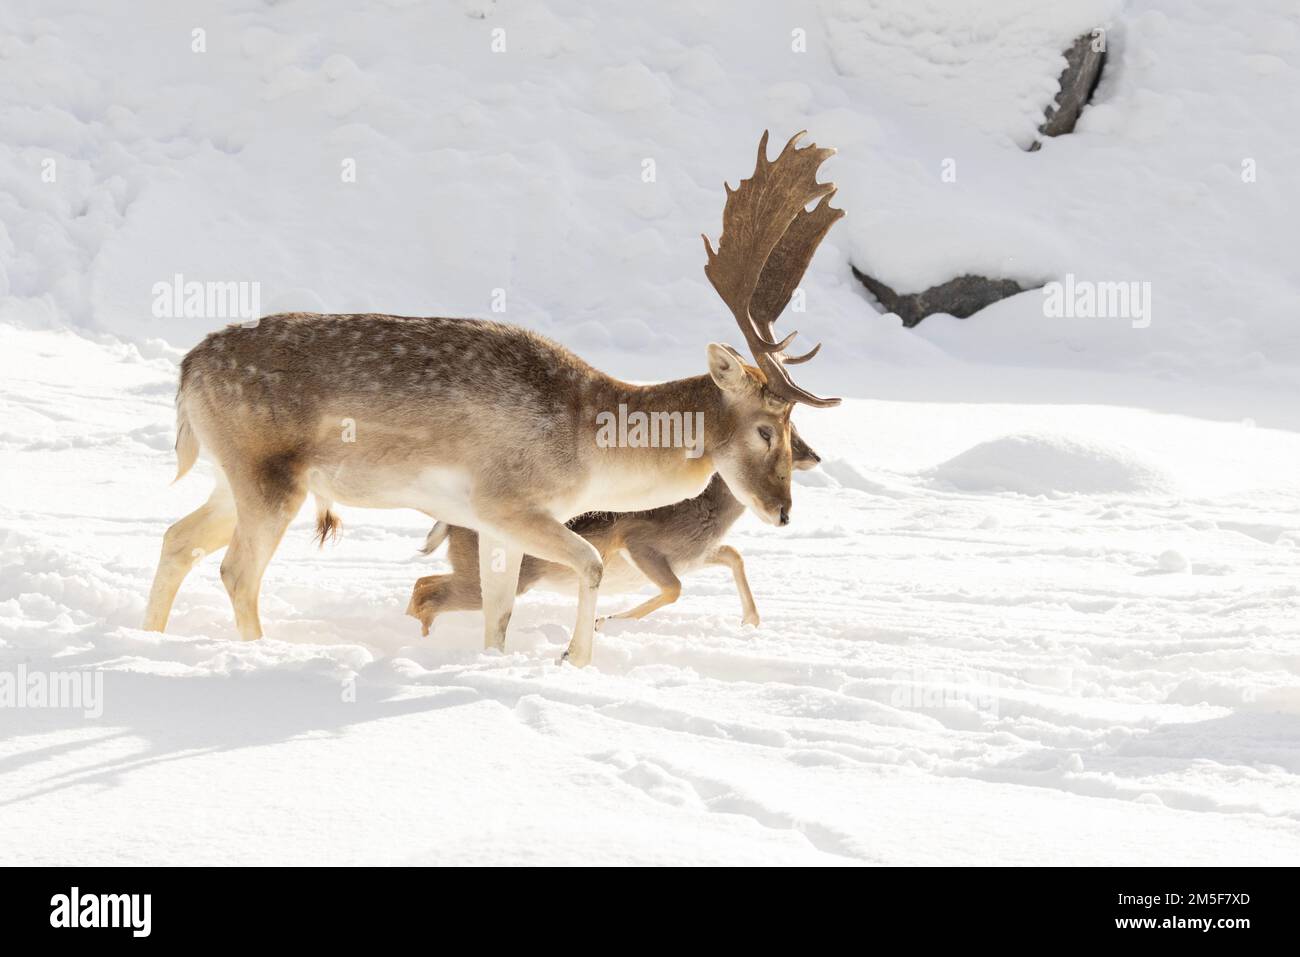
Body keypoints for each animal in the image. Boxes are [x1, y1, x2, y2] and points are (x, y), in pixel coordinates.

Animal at [405, 428, 822, 636]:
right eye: (777, 438)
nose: (815, 455)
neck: (709, 512)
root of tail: (450, 519)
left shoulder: (696, 554)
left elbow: (734, 555)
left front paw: (751, 621)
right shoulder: (640, 541)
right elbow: (675, 589)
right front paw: (605, 620)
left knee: (423, 584)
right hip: (505, 574)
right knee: (428, 593)